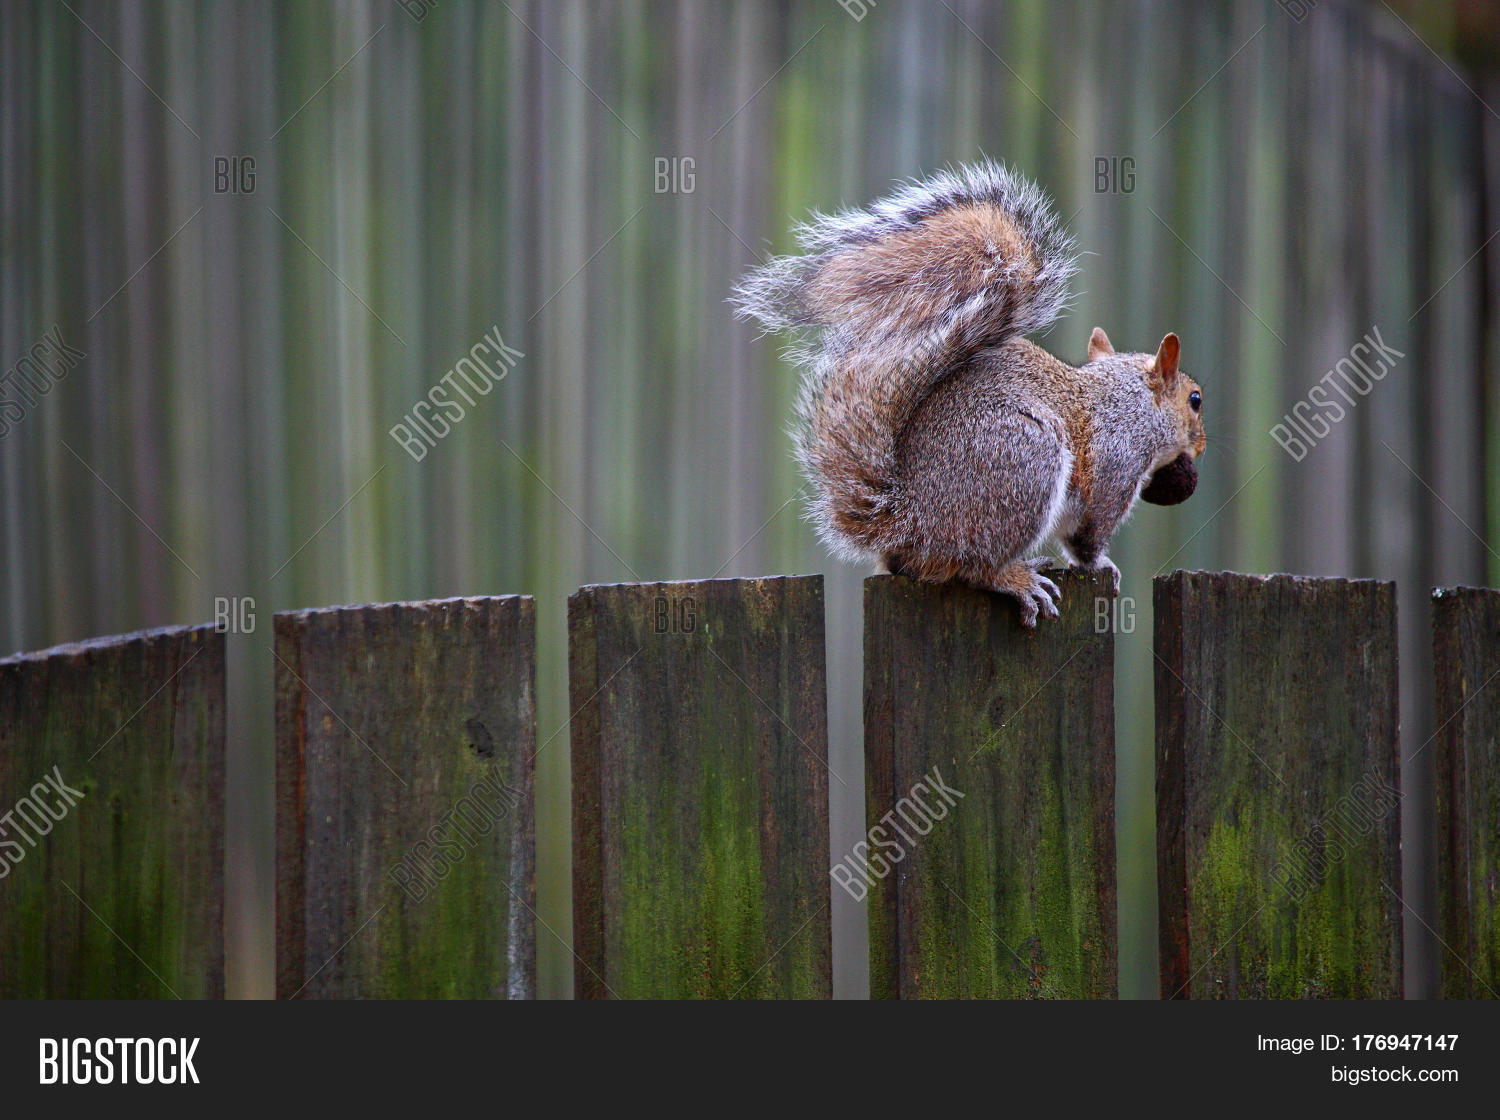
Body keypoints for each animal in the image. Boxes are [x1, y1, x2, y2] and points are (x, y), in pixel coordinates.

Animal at [732, 160, 1207, 628]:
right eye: (1195, 400)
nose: (1201, 446)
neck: (1130, 399)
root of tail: (910, 519)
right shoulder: (1116, 464)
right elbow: (1089, 535)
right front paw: (1102, 565)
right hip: (1024, 462)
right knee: (973, 567)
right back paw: (1017, 578)